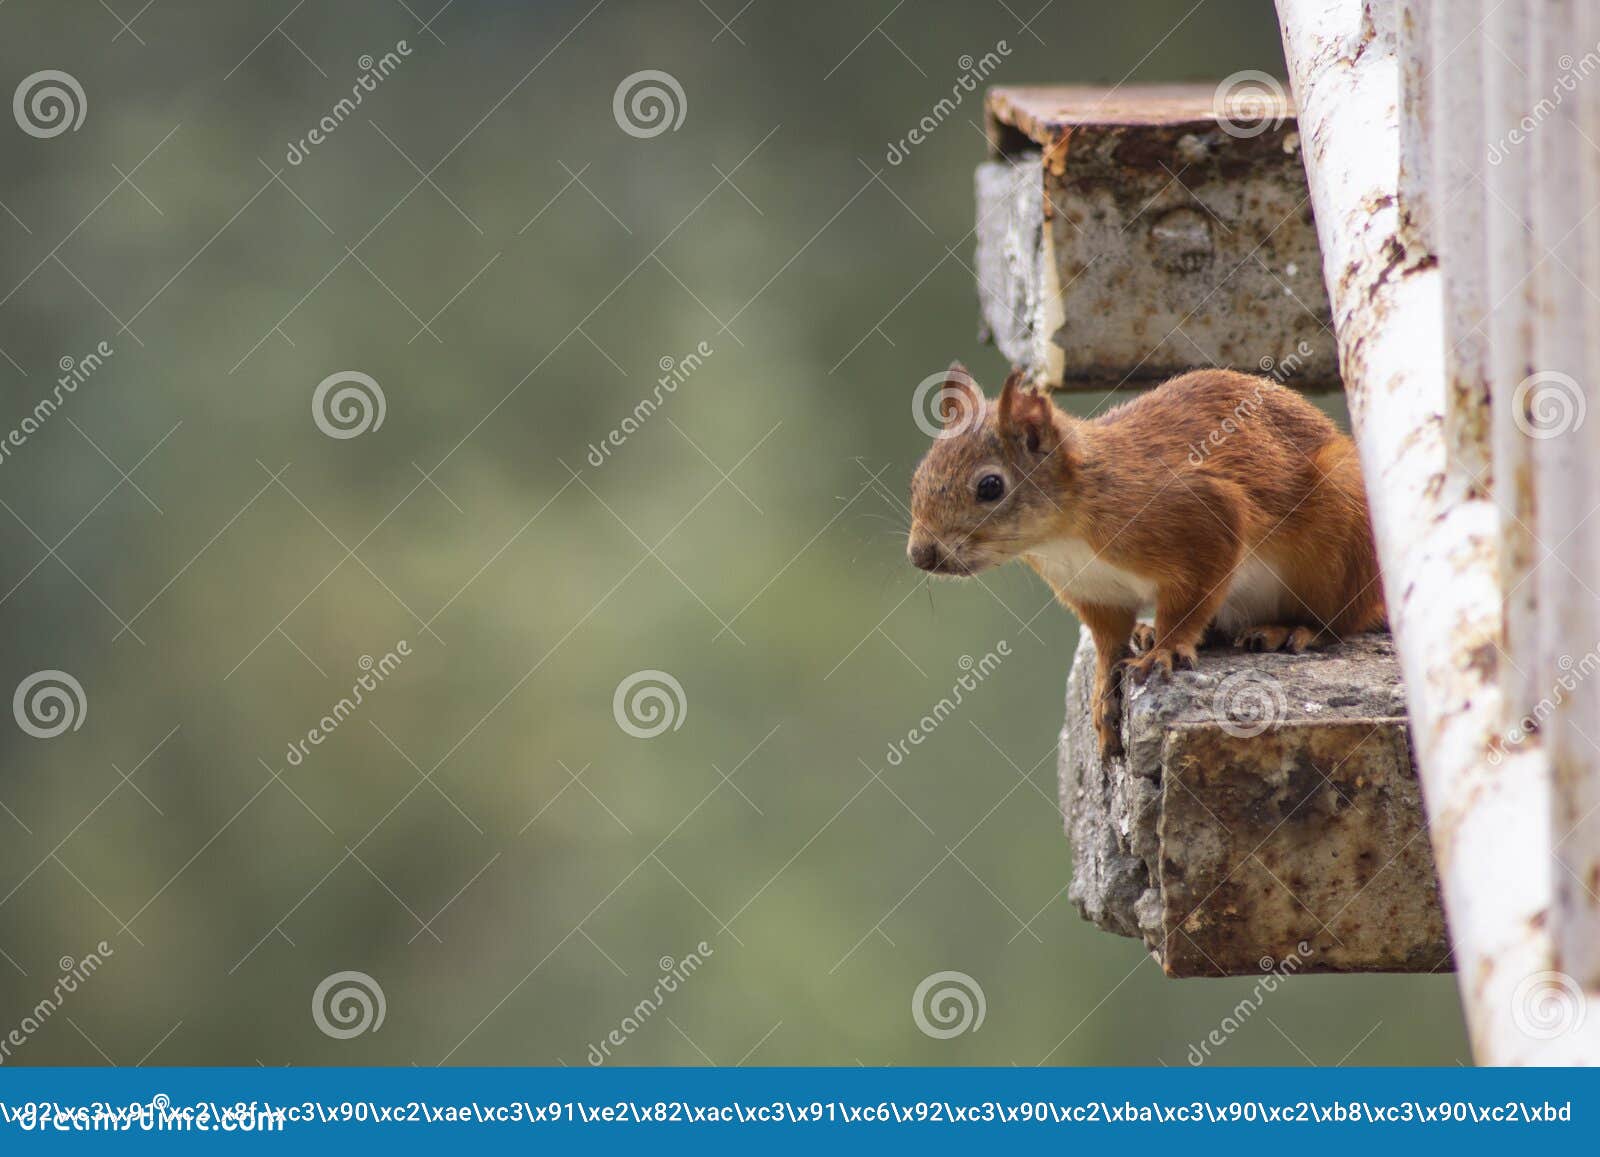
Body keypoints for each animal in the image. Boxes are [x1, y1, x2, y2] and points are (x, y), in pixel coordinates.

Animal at [907, 363, 1386, 757]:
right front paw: (1105, 691)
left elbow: (1190, 601)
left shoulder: (1202, 519)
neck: (1063, 536)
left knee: (1340, 621)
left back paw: (1288, 629)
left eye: (990, 486)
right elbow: (1108, 641)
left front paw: (1166, 649)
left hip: (1342, 533)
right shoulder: (1096, 593)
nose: (920, 554)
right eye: (917, 479)